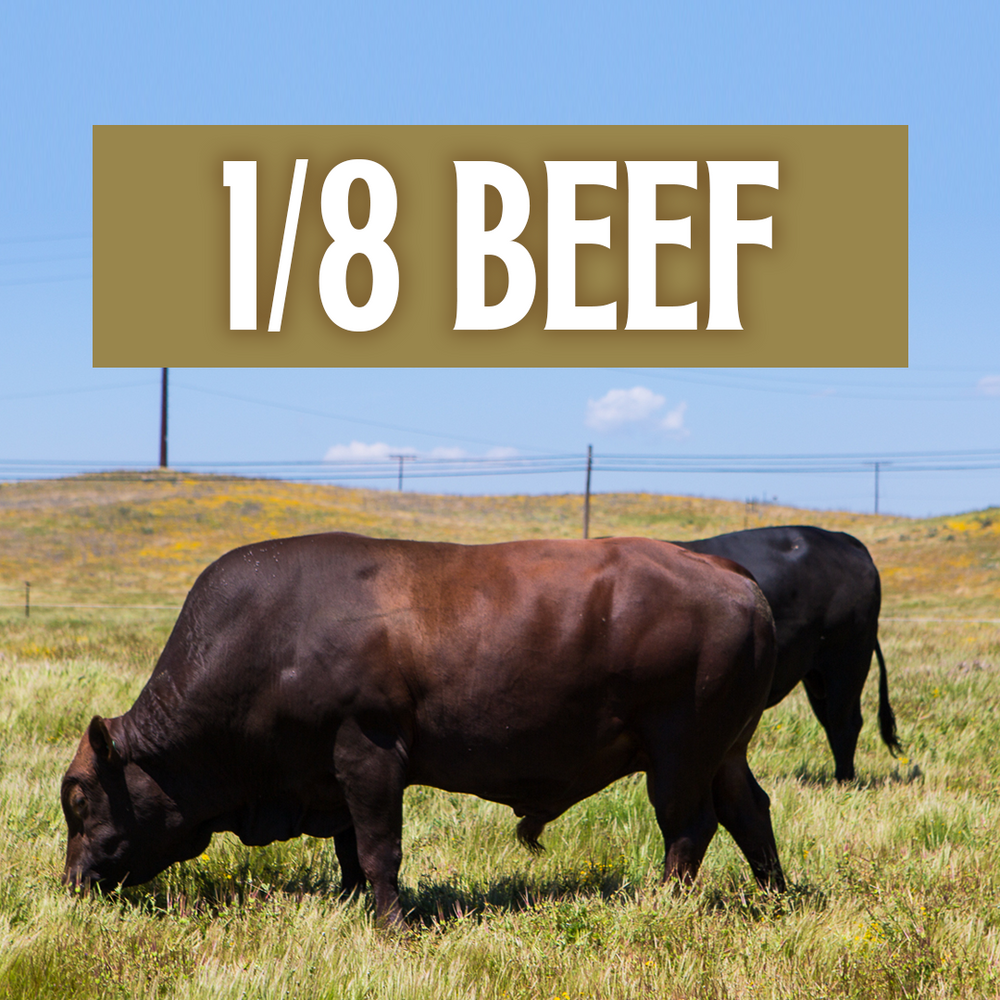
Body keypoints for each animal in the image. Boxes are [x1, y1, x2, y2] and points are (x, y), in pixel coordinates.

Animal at [62, 532, 785, 924]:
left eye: (79, 799)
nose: (71, 884)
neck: (270, 637)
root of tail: (732, 576)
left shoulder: (368, 753)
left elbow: (378, 849)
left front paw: (391, 926)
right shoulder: (334, 779)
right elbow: (351, 853)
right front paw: (351, 906)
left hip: (681, 754)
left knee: (689, 829)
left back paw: (661, 906)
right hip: (725, 751)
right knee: (750, 812)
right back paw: (776, 898)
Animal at [674, 526, 901, 781]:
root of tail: (842, 538)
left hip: (846, 664)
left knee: (844, 723)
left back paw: (843, 781)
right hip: (817, 675)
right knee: (830, 720)